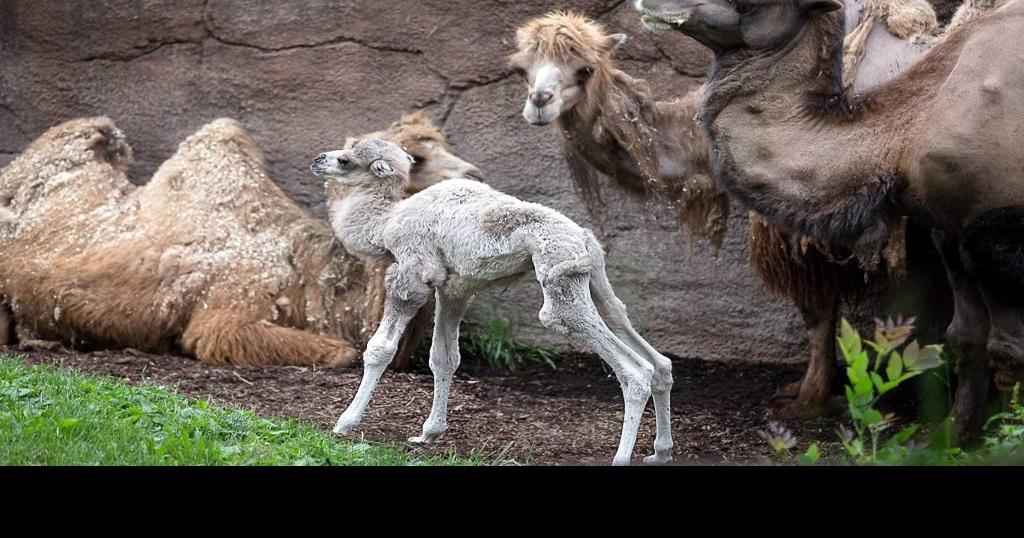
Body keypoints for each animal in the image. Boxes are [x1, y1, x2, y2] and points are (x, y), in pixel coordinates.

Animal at [313, 138, 674, 466]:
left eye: (346, 159)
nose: (318, 159)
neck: (387, 223)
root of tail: (584, 239)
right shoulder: (454, 288)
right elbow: (444, 357)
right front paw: (429, 432)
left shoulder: (413, 273)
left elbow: (380, 348)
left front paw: (344, 423)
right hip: (593, 279)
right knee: (645, 347)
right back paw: (660, 451)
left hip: (559, 282)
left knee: (633, 370)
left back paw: (622, 456)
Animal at [508, 7, 945, 417]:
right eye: (521, 69)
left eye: (585, 69)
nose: (539, 102)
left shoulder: (796, 228)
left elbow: (818, 313)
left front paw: (806, 401)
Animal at [634, 0, 1024, 438]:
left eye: (748, 4)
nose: (651, 6)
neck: (906, 134)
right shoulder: (950, 226)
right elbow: (967, 335)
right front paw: (952, 437)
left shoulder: (996, 229)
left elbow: (1009, 350)